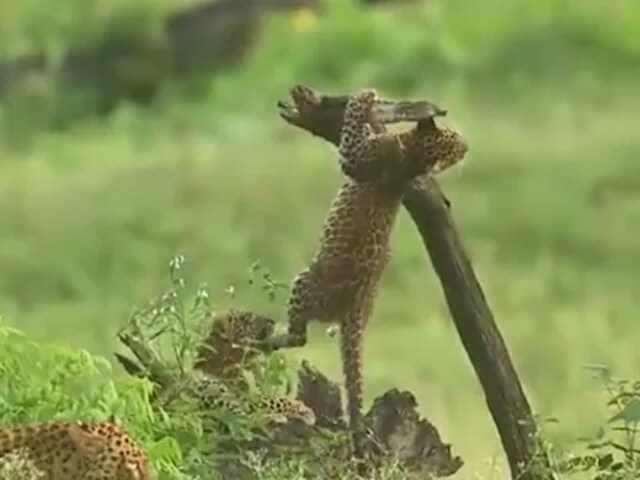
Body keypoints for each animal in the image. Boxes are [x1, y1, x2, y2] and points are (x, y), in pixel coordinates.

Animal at [256, 86, 469, 458]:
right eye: (454, 139)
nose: (468, 146)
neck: (411, 157)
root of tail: (356, 308)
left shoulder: (355, 158)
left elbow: (353, 134)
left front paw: (364, 96)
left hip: (305, 281)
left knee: (299, 336)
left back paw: (271, 337)